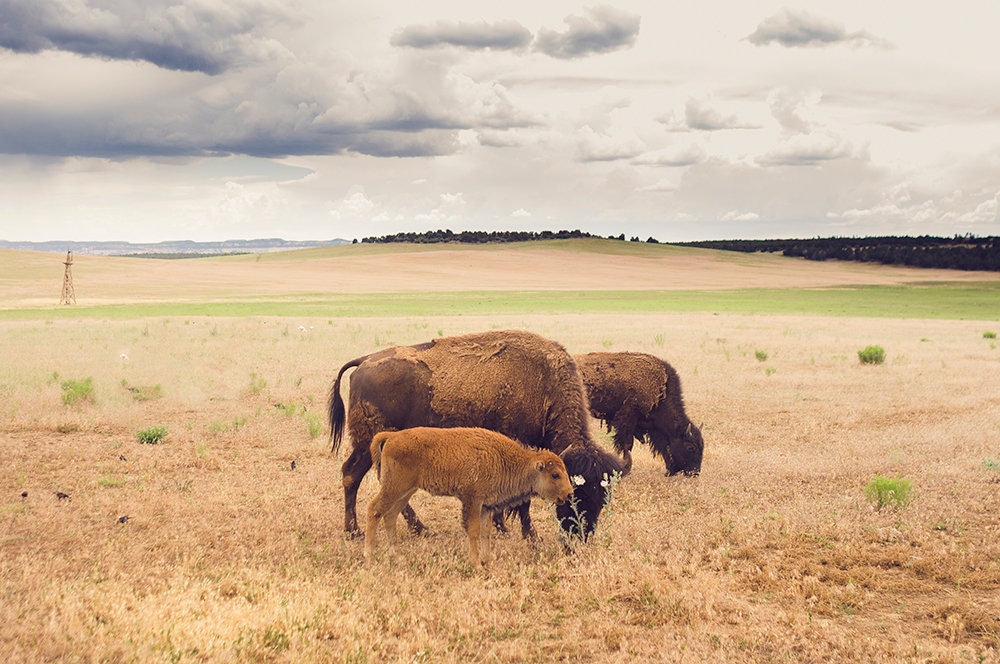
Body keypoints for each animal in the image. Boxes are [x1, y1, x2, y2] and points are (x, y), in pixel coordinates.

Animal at [329, 330, 623, 540]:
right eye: (577, 493)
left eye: (603, 497)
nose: (581, 534)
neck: (543, 386)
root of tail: (364, 362)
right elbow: (523, 499)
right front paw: (529, 535)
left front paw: (502, 527)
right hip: (369, 443)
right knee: (352, 475)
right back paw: (356, 531)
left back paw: (416, 529)